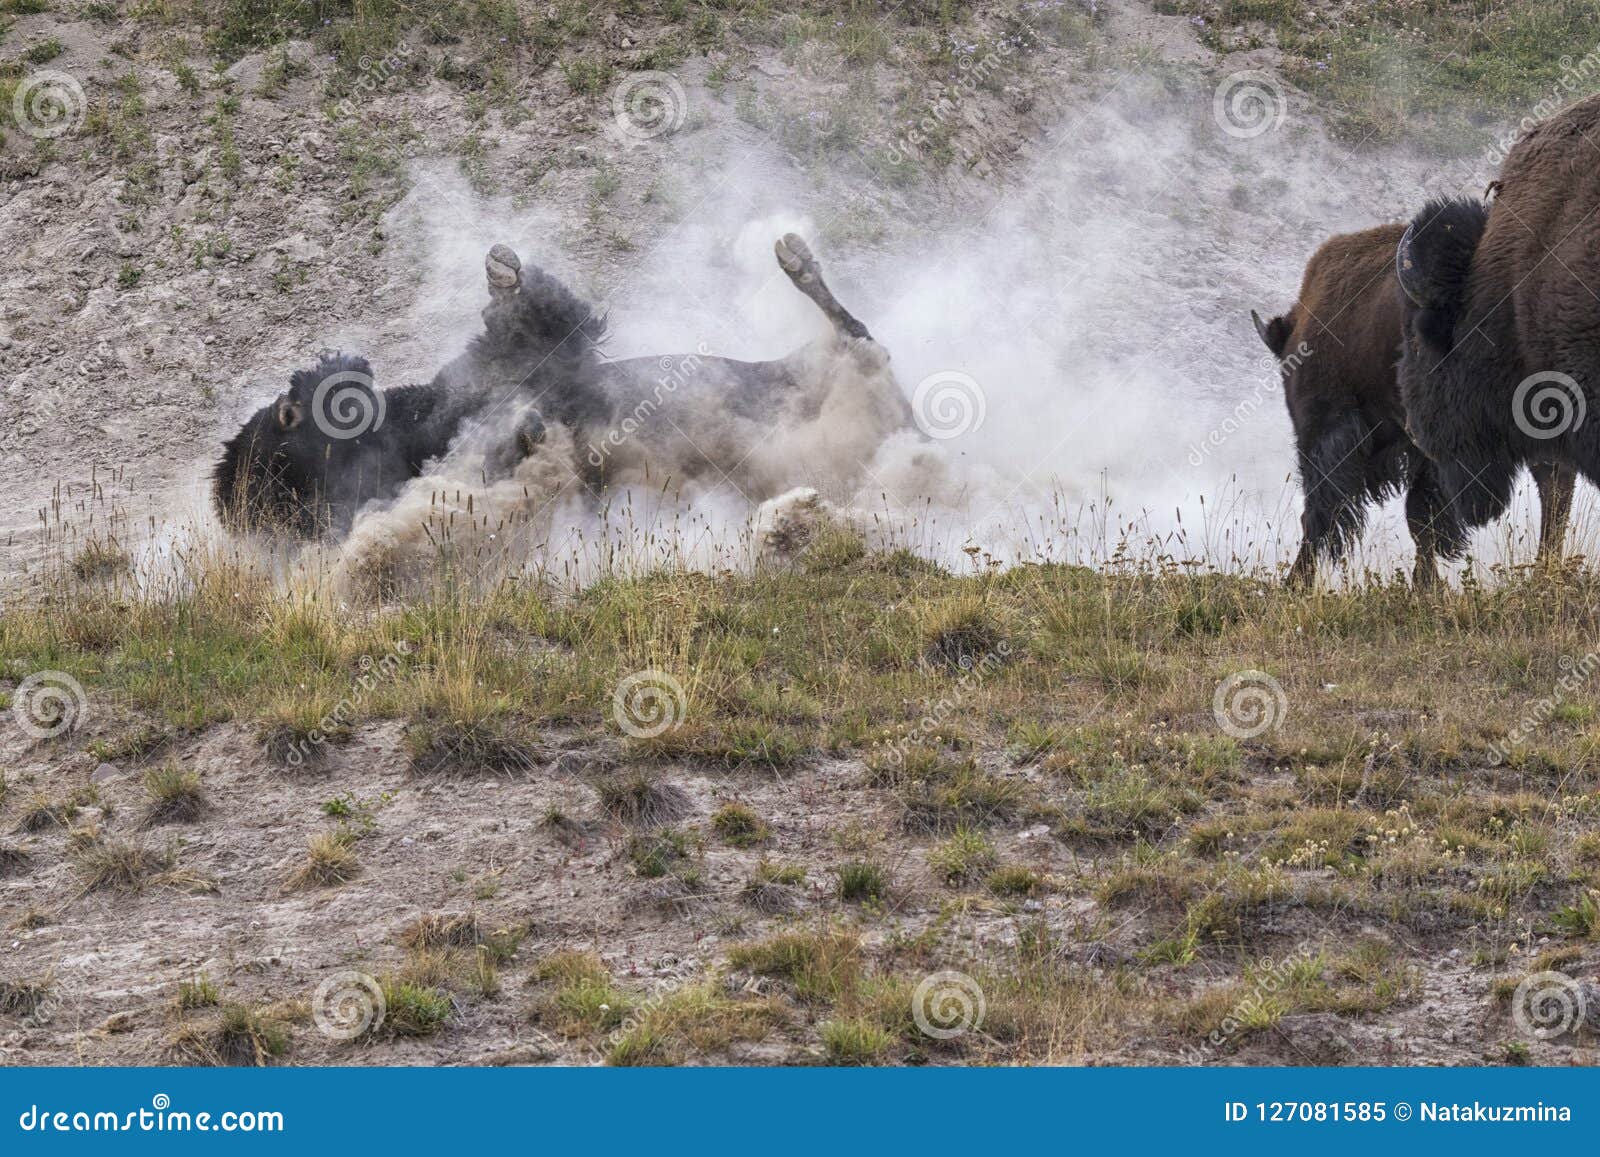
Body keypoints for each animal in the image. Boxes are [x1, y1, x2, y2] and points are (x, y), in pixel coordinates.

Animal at [1254, 221, 1572, 587]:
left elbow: (1327, 510)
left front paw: (1296, 582)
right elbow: (1420, 516)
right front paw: (1426, 584)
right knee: (1555, 484)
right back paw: (1544, 570)